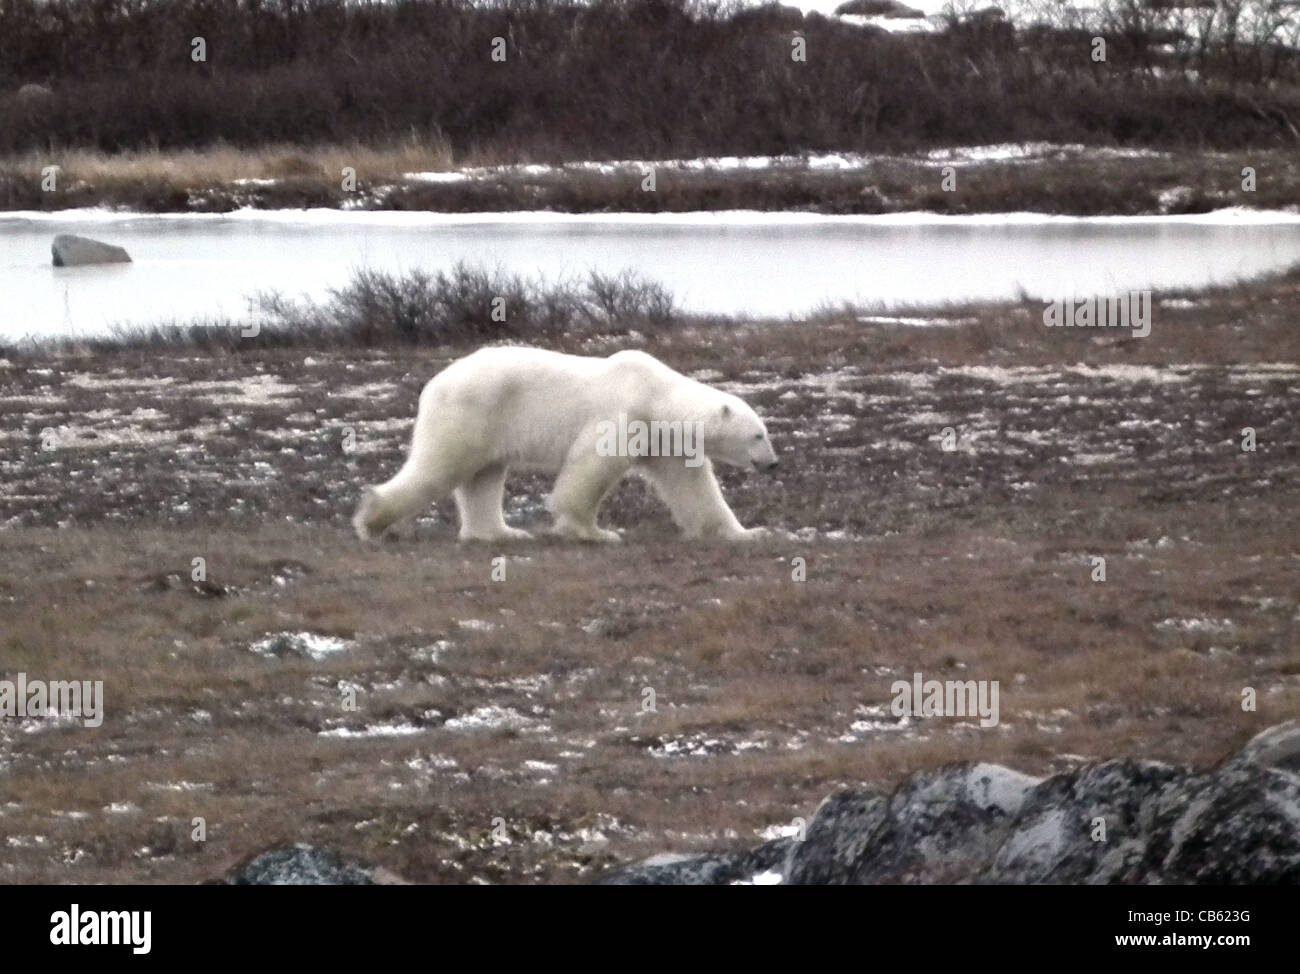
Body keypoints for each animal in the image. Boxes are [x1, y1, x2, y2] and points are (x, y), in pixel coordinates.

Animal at [352, 346, 778, 543]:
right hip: (471, 411)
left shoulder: (662, 437)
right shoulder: (619, 416)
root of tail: (434, 383)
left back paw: (501, 532)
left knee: (483, 477)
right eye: (758, 435)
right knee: (440, 467)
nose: (772, 463)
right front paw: (595, 532)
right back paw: (373, 519)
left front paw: (749, 532)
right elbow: (590, 470)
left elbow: (693, 488)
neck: (654, 395)